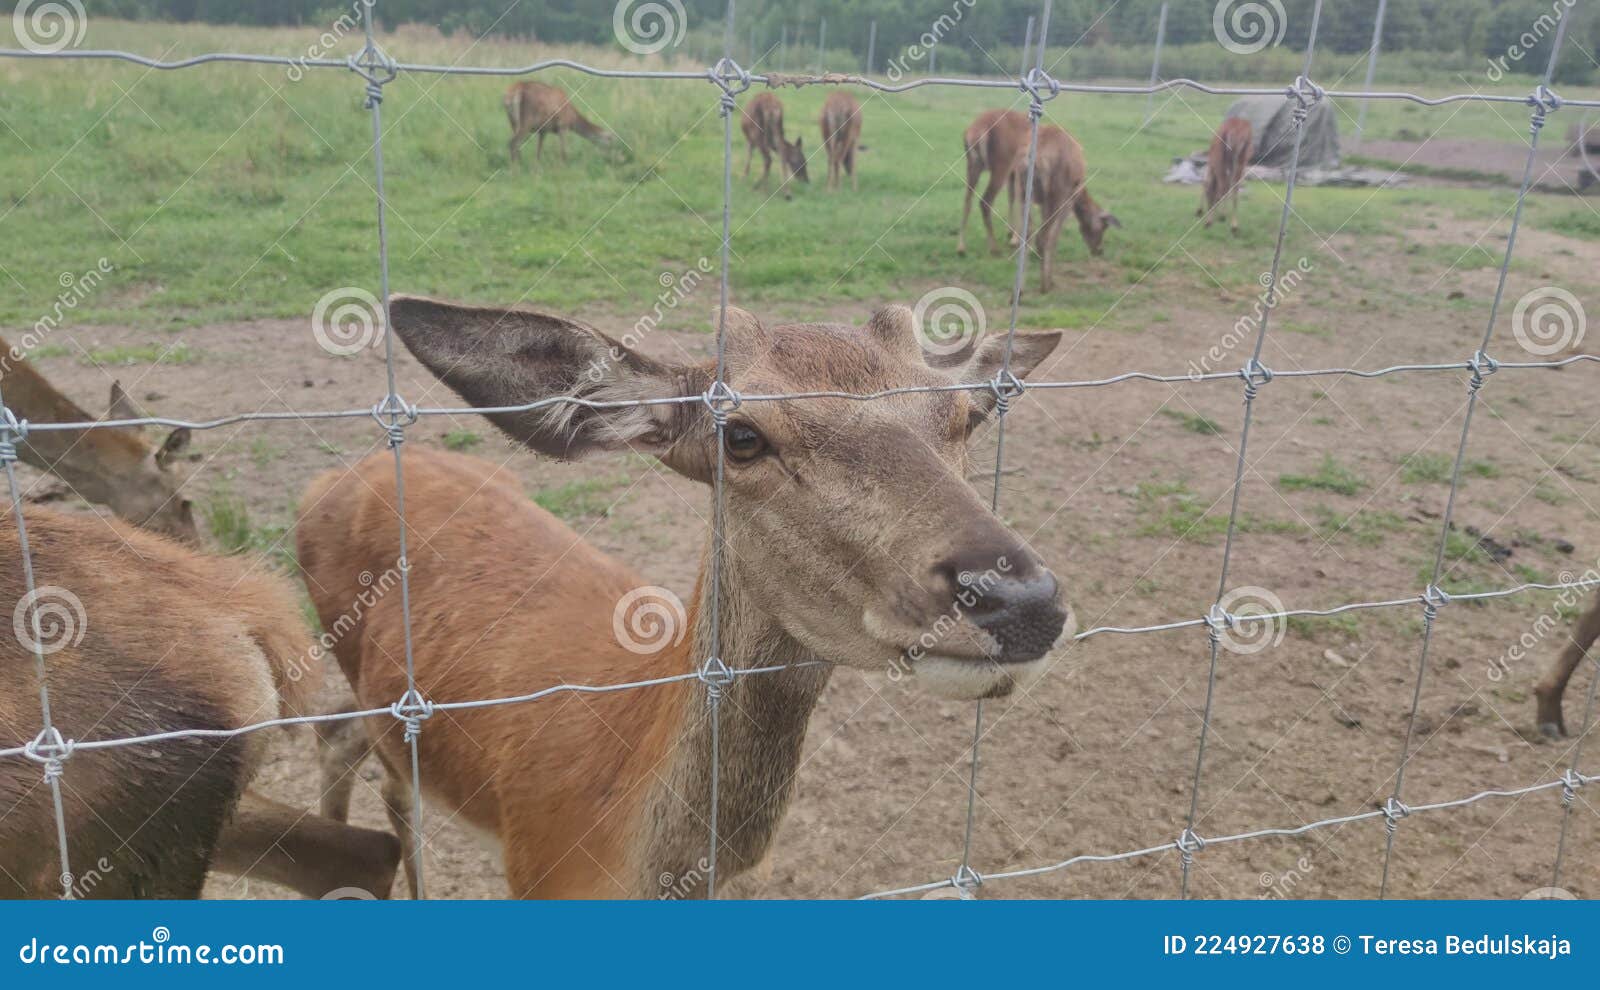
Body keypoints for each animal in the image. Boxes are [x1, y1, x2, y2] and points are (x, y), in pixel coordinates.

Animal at [1029, 123, 1120, 293]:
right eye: (1103, 227)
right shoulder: (1068, 201)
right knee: (1044, 237)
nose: (1099, 251)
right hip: (1058, 194)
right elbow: (1053, 237)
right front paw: (1050, 282)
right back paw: (1045, 286)